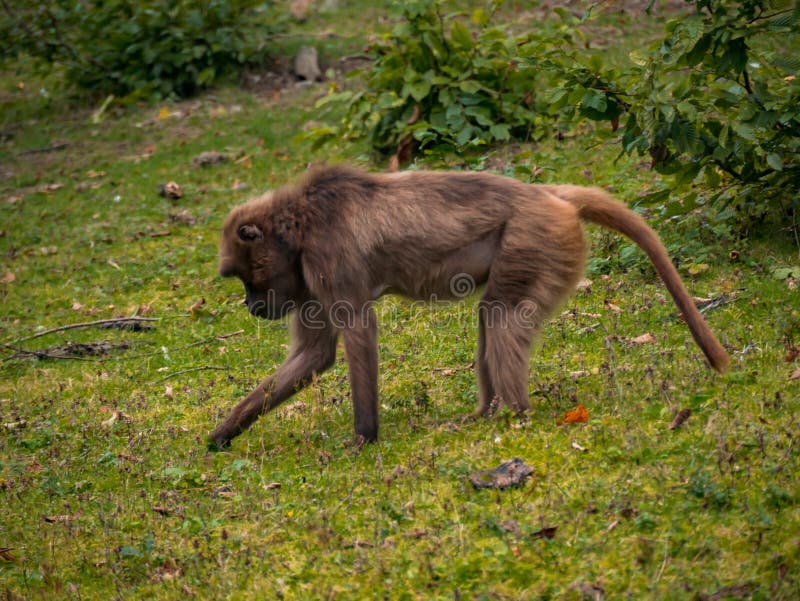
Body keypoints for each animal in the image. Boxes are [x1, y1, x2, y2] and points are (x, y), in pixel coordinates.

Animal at [209, 165, 728, 449]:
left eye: (248, 279)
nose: (252, 307)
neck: (300, 222)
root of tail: (549, 195)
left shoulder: (326, 260)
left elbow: (358, 333)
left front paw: (364, 438)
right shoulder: (306, 281)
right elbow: (314, 356)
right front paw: (222, 434)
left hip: (534, 236)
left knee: (501, 315)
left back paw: (513, 416)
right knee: (492, 315)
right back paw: (487, 413)